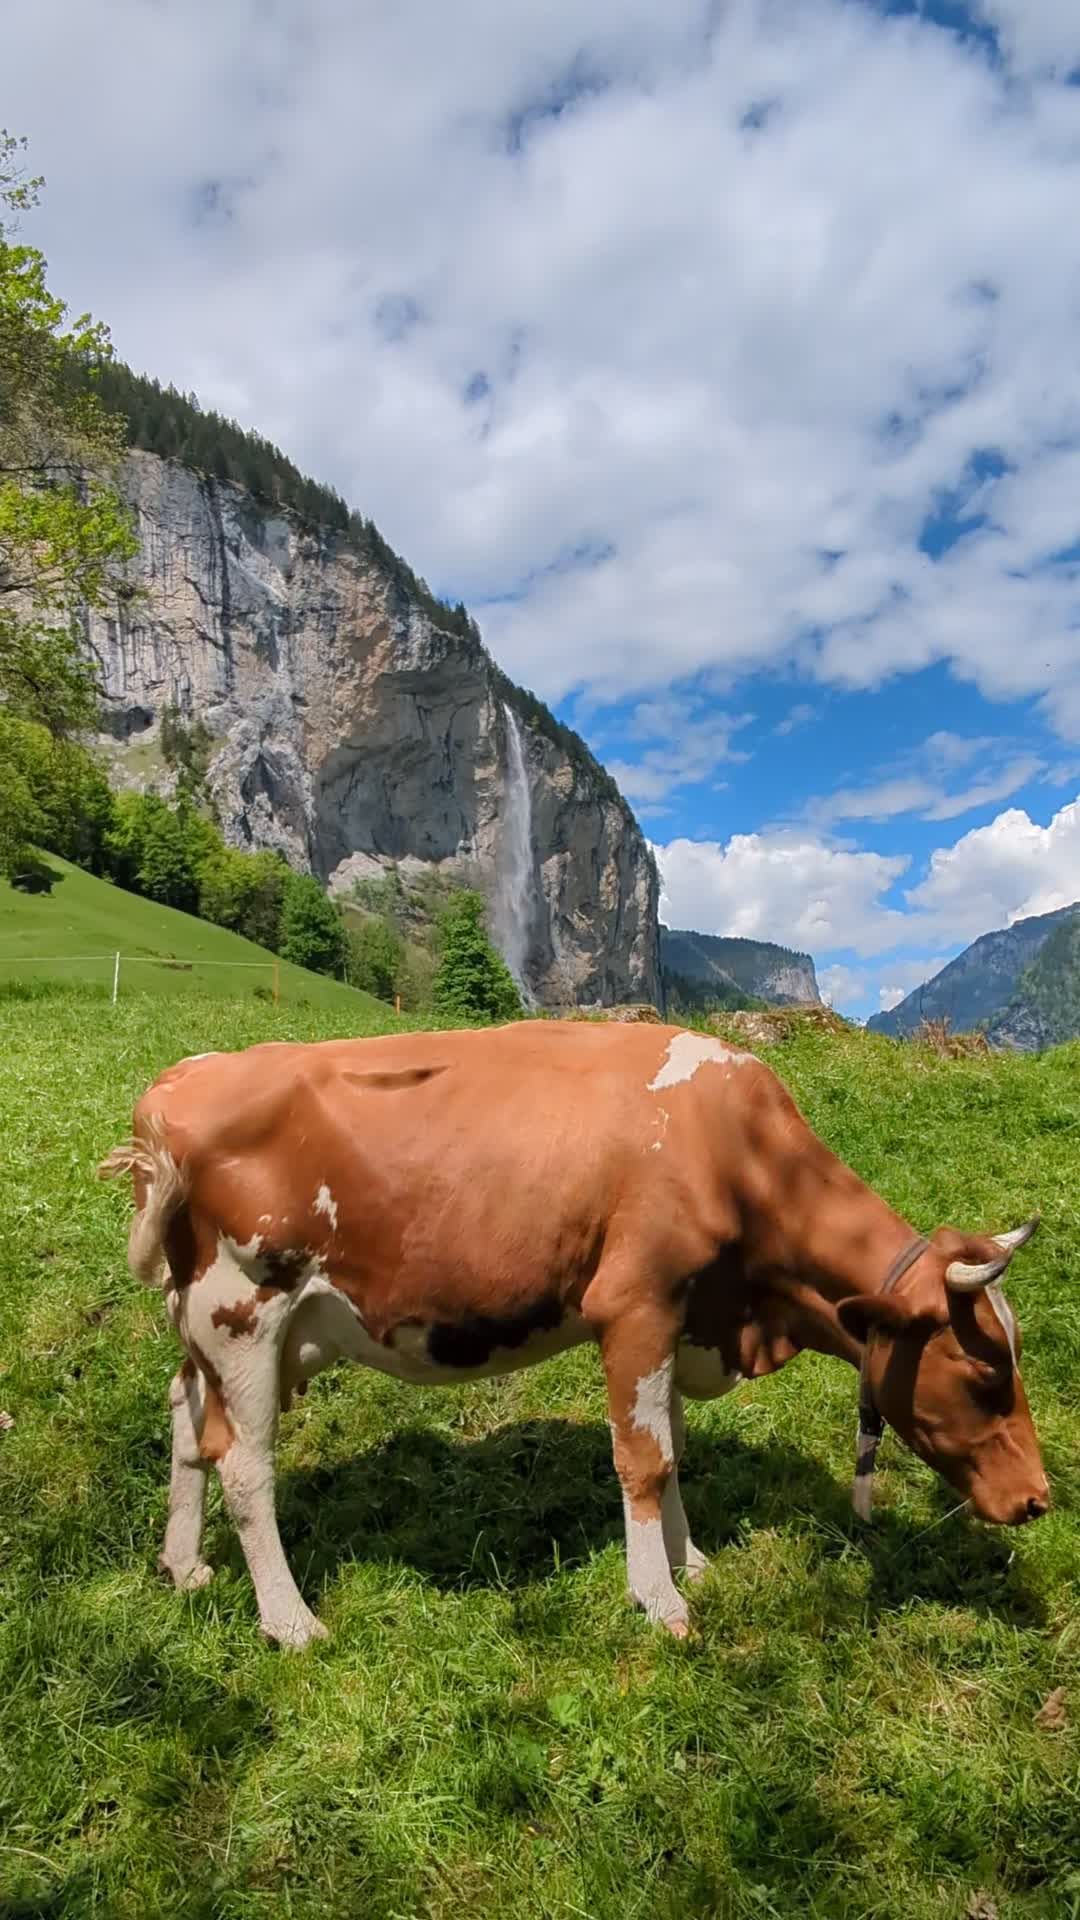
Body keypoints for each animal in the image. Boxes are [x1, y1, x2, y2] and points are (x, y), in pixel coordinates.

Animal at [99, 1021, 1048, 1649]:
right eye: (985, 1376)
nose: (1039, 1500)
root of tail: (175, 1085)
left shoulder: (680, 1317)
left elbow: (671, 1448)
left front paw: (690, 1560)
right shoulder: (635, 1303)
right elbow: (645, 1458)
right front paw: (661, 1600)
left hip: (207, 1327)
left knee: (185, 1420)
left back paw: (183, 1566)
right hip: (244, 1313)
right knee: (244, 1466)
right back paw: (292, 1621)